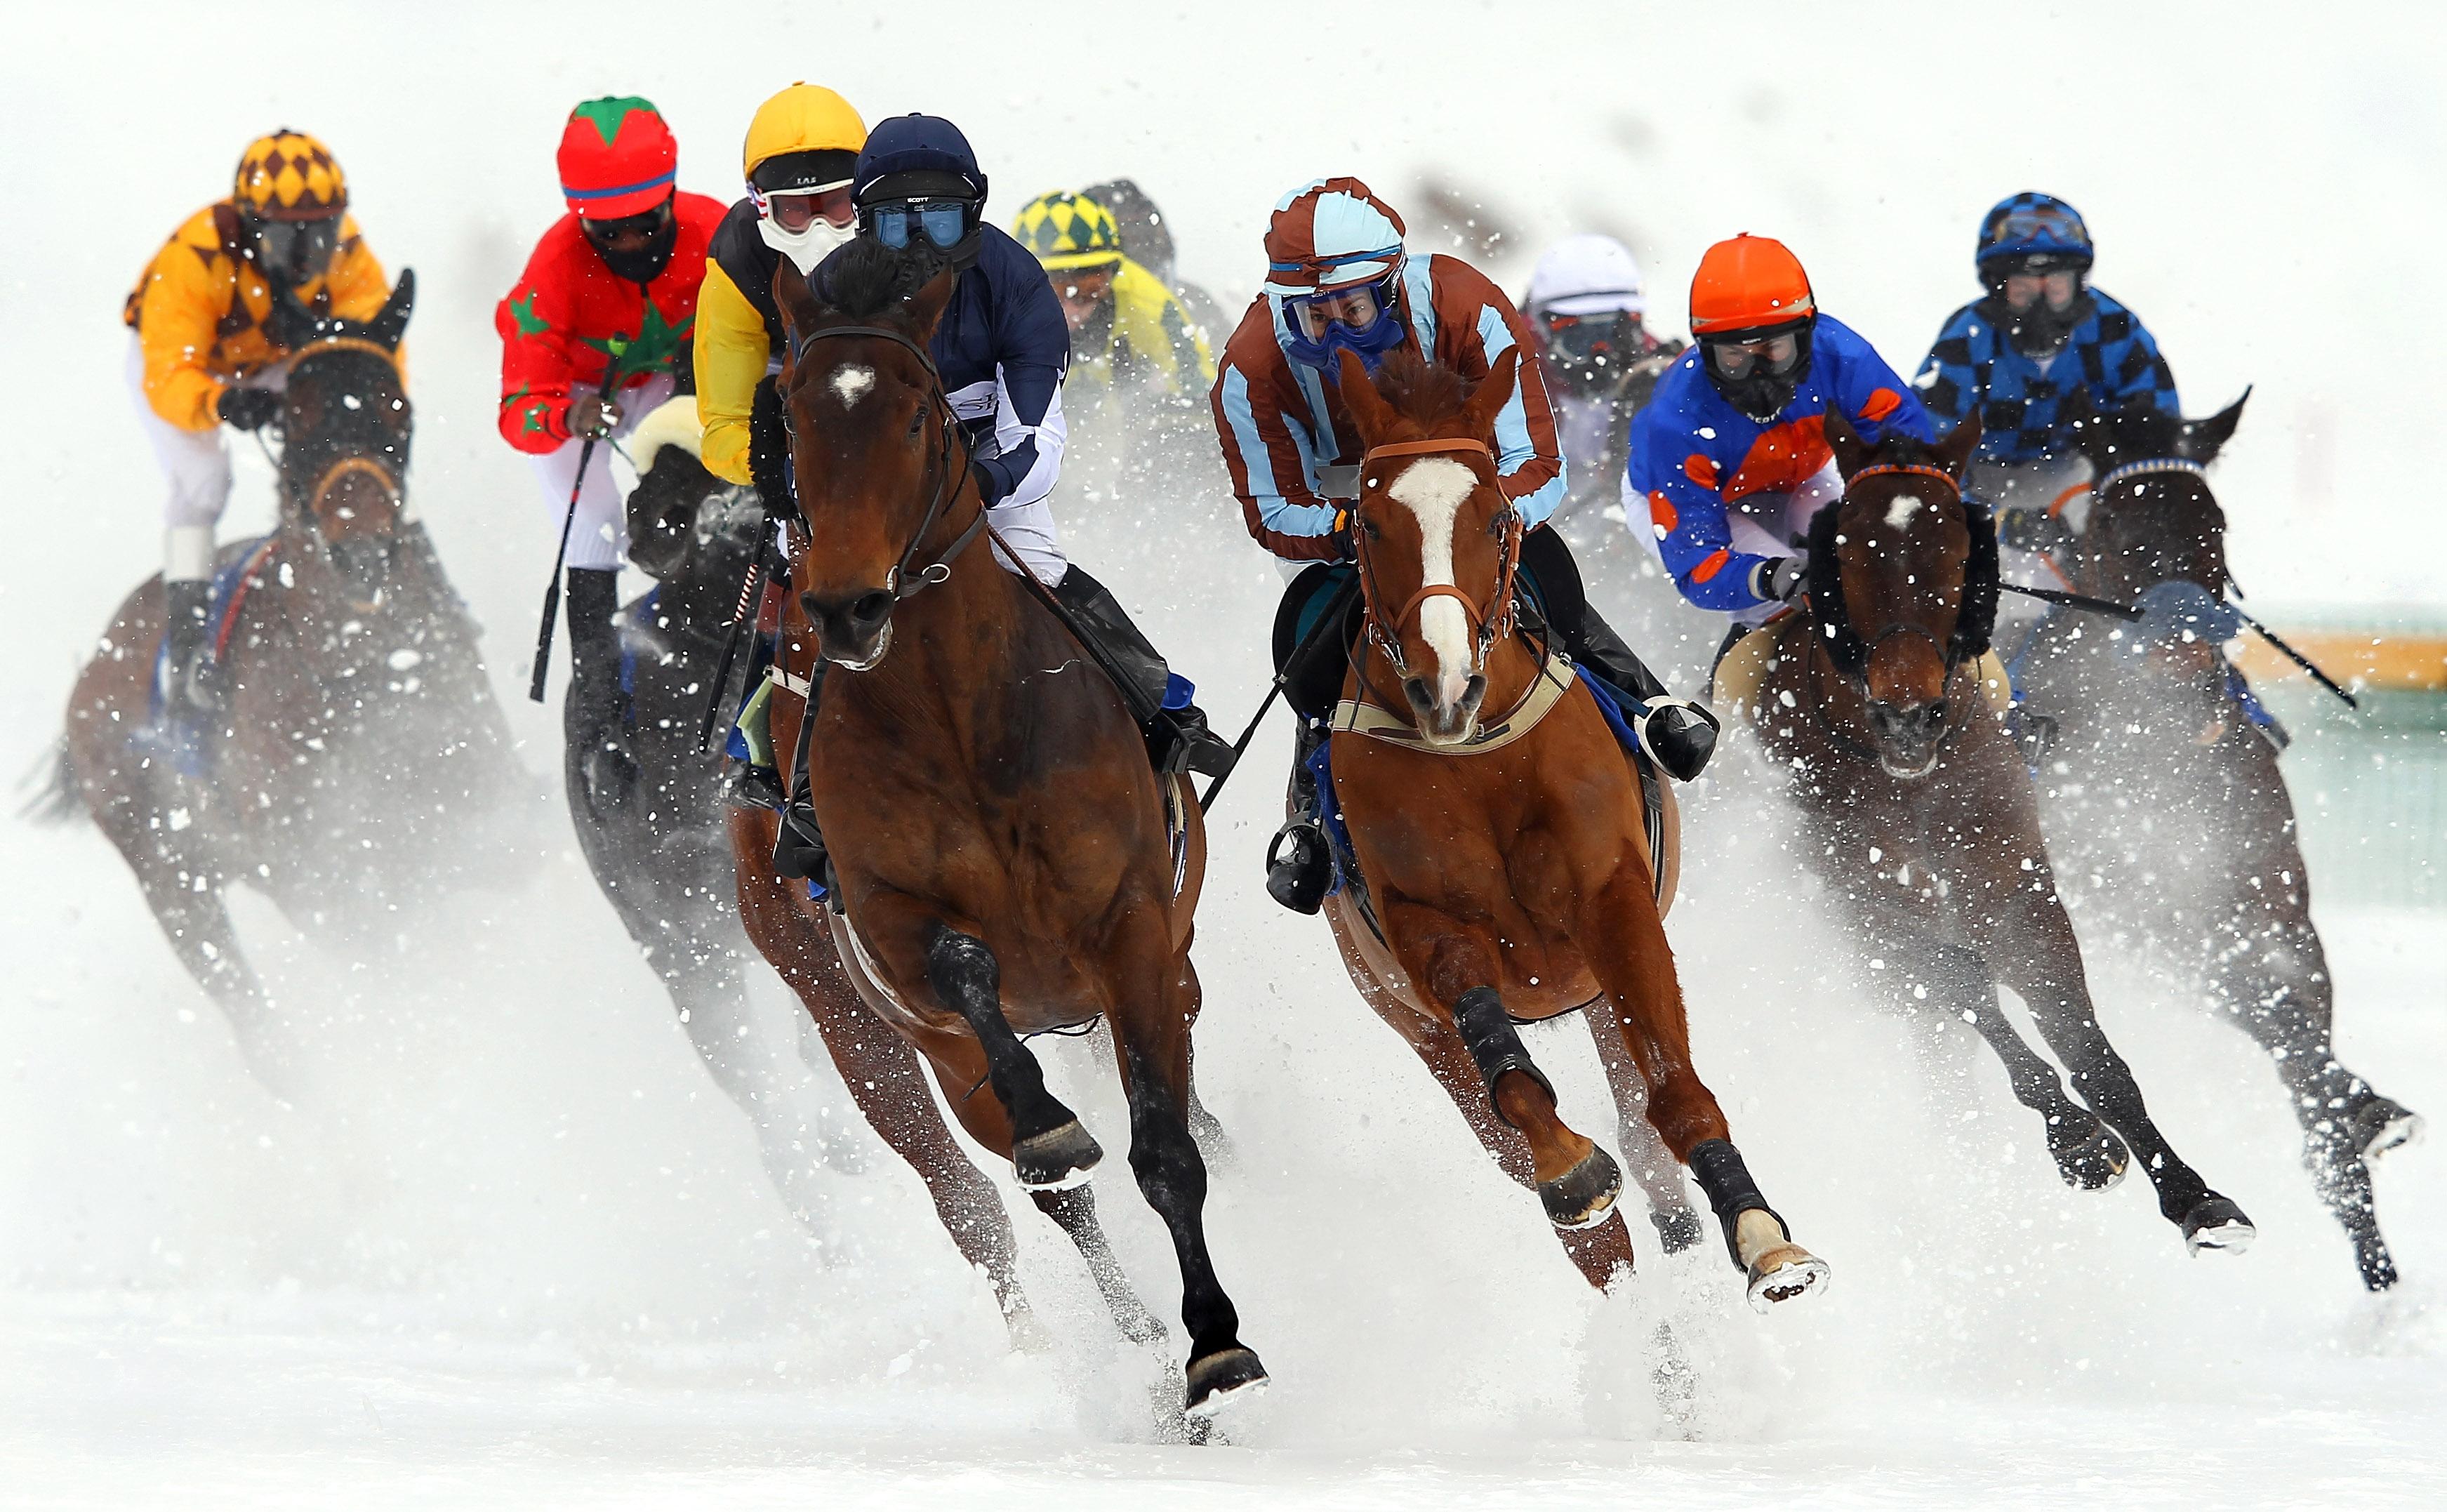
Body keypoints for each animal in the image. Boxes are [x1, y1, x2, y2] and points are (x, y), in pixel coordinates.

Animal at [57, 272, 533, 1090]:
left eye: (398, 410)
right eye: (299, 418)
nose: (364, 553)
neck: (364, 666)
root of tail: (93, 670)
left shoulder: (480, 787)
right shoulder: (319, 878)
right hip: (172, 880)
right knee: (255, 1019)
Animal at [727, 240, 1266, 1419]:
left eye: (919, 413)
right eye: (789, 412)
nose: (844, 606)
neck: (959, 721)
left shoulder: (1132, 927)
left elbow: (1166, 1148)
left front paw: (1215, 1348)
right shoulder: (891, 935)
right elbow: (969, 977)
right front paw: (1060, 1136)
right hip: (866, 1034)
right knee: (1001, 1186)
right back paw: (1118, 1323)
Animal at [1314, 345, 1827, 1309]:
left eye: (1492, 514)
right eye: (1370, 521)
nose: (1445, 686)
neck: (1479, 760)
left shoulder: (1612, 902)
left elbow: (1673, 1094)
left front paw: (1764, 1238)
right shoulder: (1423, 929)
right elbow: (1522, 1101)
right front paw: (1572, 1172)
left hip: (1589, 994)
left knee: (1640, 1138)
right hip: (1401, 1014)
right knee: (1540, 1176)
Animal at [1724, 404, 2255, 1256]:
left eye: (1954, 550)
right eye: (1848, 553)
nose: (1909, 714)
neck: (1911, 777)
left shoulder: (2018, 890)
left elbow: (2084, 1041)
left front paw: (2193, 1195)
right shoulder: (1880, 913)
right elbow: (1972, 994)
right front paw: (2078, 1141)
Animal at [2014, 390, 2421, 1290]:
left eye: (2216, 520)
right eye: (2115, 525)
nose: (2186, 657)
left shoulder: (2274, 905)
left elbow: (2303, 1039)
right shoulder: (2146, 921)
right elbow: (2270, 1015)